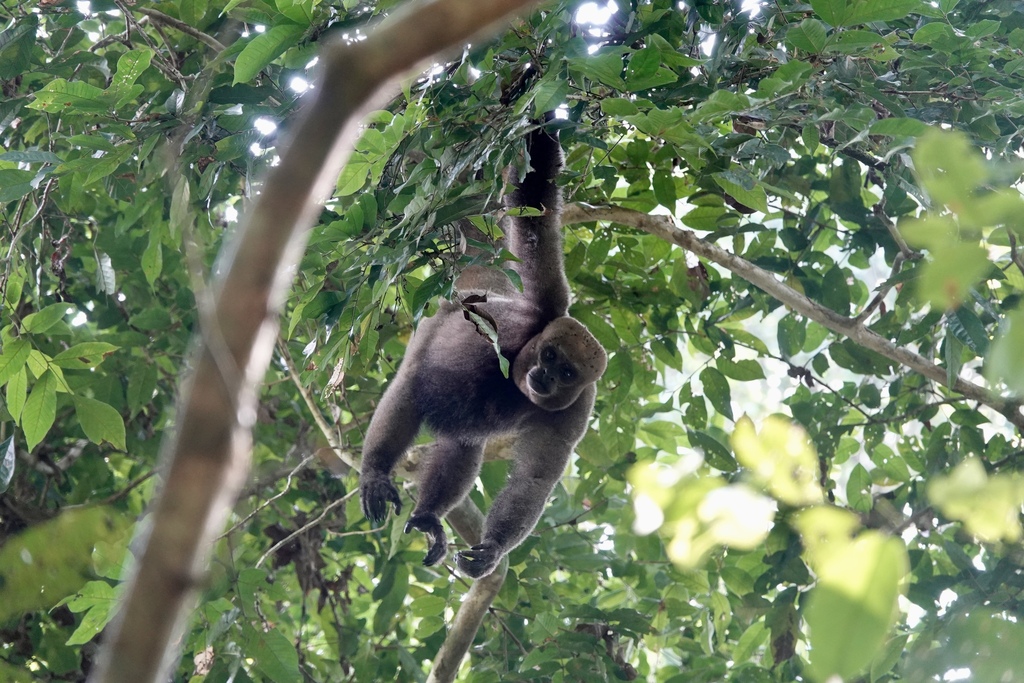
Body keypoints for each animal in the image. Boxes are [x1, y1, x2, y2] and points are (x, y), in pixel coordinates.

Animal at [359, 121, 607, 579]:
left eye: (568, 374)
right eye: (550, 356)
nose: (545, 377)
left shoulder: (576, 409)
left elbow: (532, 480)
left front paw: (493, 547)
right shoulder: (546, 305)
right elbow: (534, 204)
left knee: (462, 443)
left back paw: (428, 517)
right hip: (434, 325)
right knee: (410, 390)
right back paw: (375, 471)